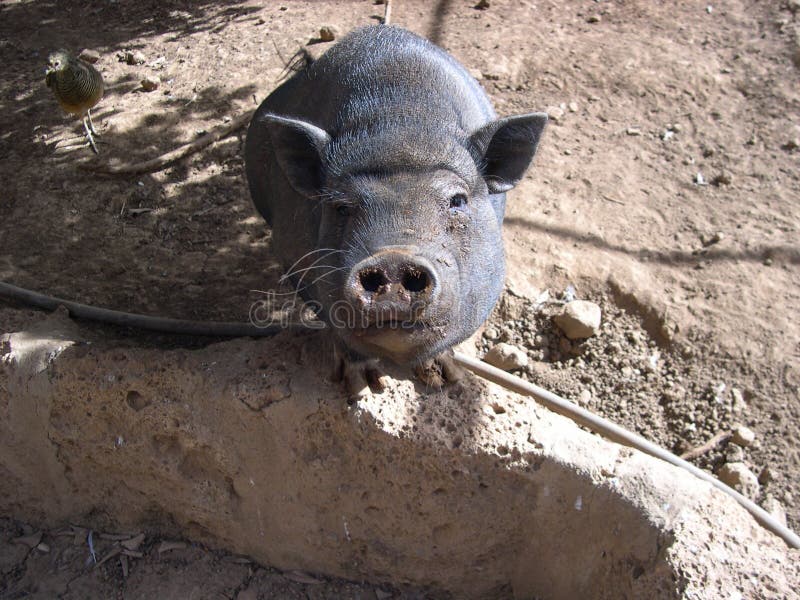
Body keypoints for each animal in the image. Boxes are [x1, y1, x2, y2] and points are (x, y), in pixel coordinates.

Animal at [245, 25, 546, 394]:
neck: (400, 129)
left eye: (457, 200)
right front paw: (361, 386)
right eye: (341, 207)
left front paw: (447, 380)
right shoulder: (289, 253)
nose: (392, 258)